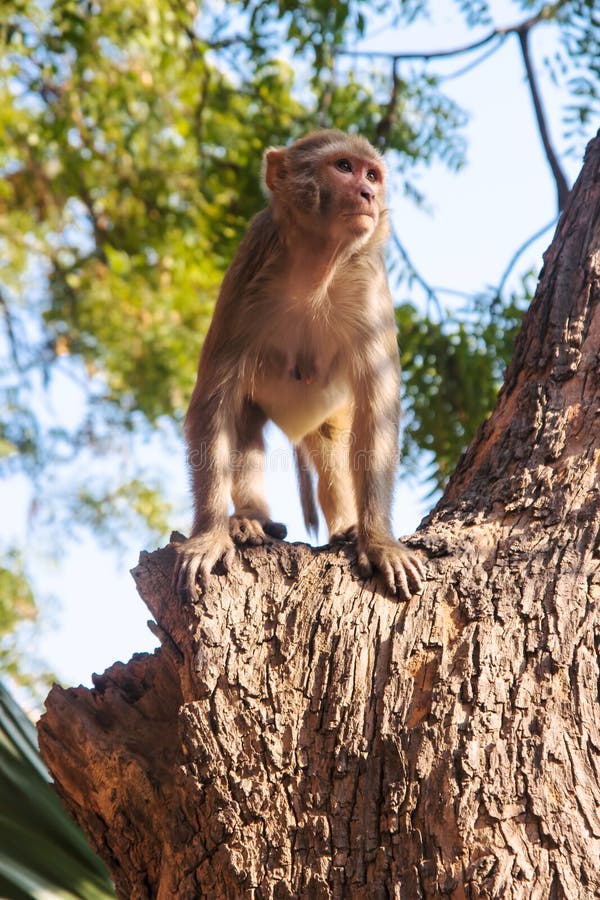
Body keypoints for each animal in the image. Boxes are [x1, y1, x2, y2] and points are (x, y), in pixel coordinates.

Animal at [173, 129, 426, 600]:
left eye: (372, 175)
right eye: (344, 167)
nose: (368, 193)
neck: (316, 269)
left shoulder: (369, 286)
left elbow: (376, 414)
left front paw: (380, 541)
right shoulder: (249, 271)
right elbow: (213, 403)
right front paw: (208, 535)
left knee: (332, 445)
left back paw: (346, 525)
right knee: (244, 426)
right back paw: (249, 517)